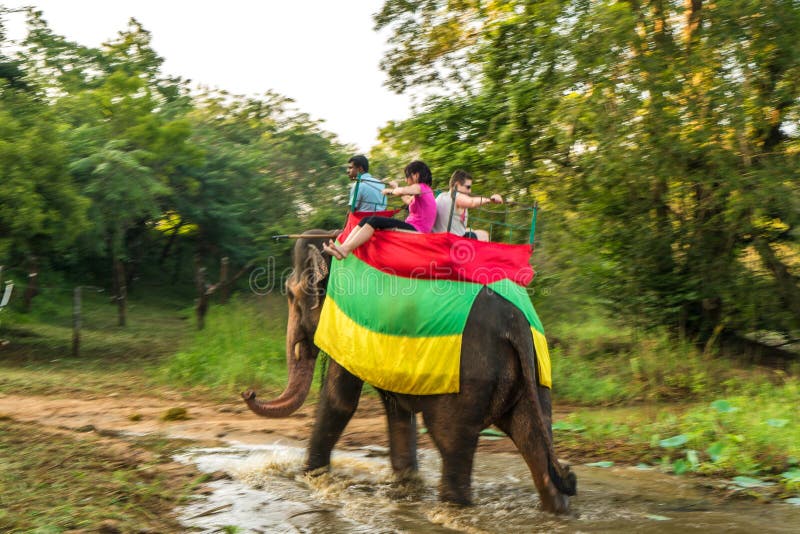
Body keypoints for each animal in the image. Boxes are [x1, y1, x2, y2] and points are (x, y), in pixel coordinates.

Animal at [242, 230, 576, 514]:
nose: (249, 391)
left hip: (469, 378)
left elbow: (340, 400)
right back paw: (556, 508)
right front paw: (404, 483)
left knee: (452, 443)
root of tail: (516, 322)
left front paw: (308, 478)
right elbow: (398, 409)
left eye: (289, 294)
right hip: (534, 373)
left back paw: (453, 506)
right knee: (533, 441)